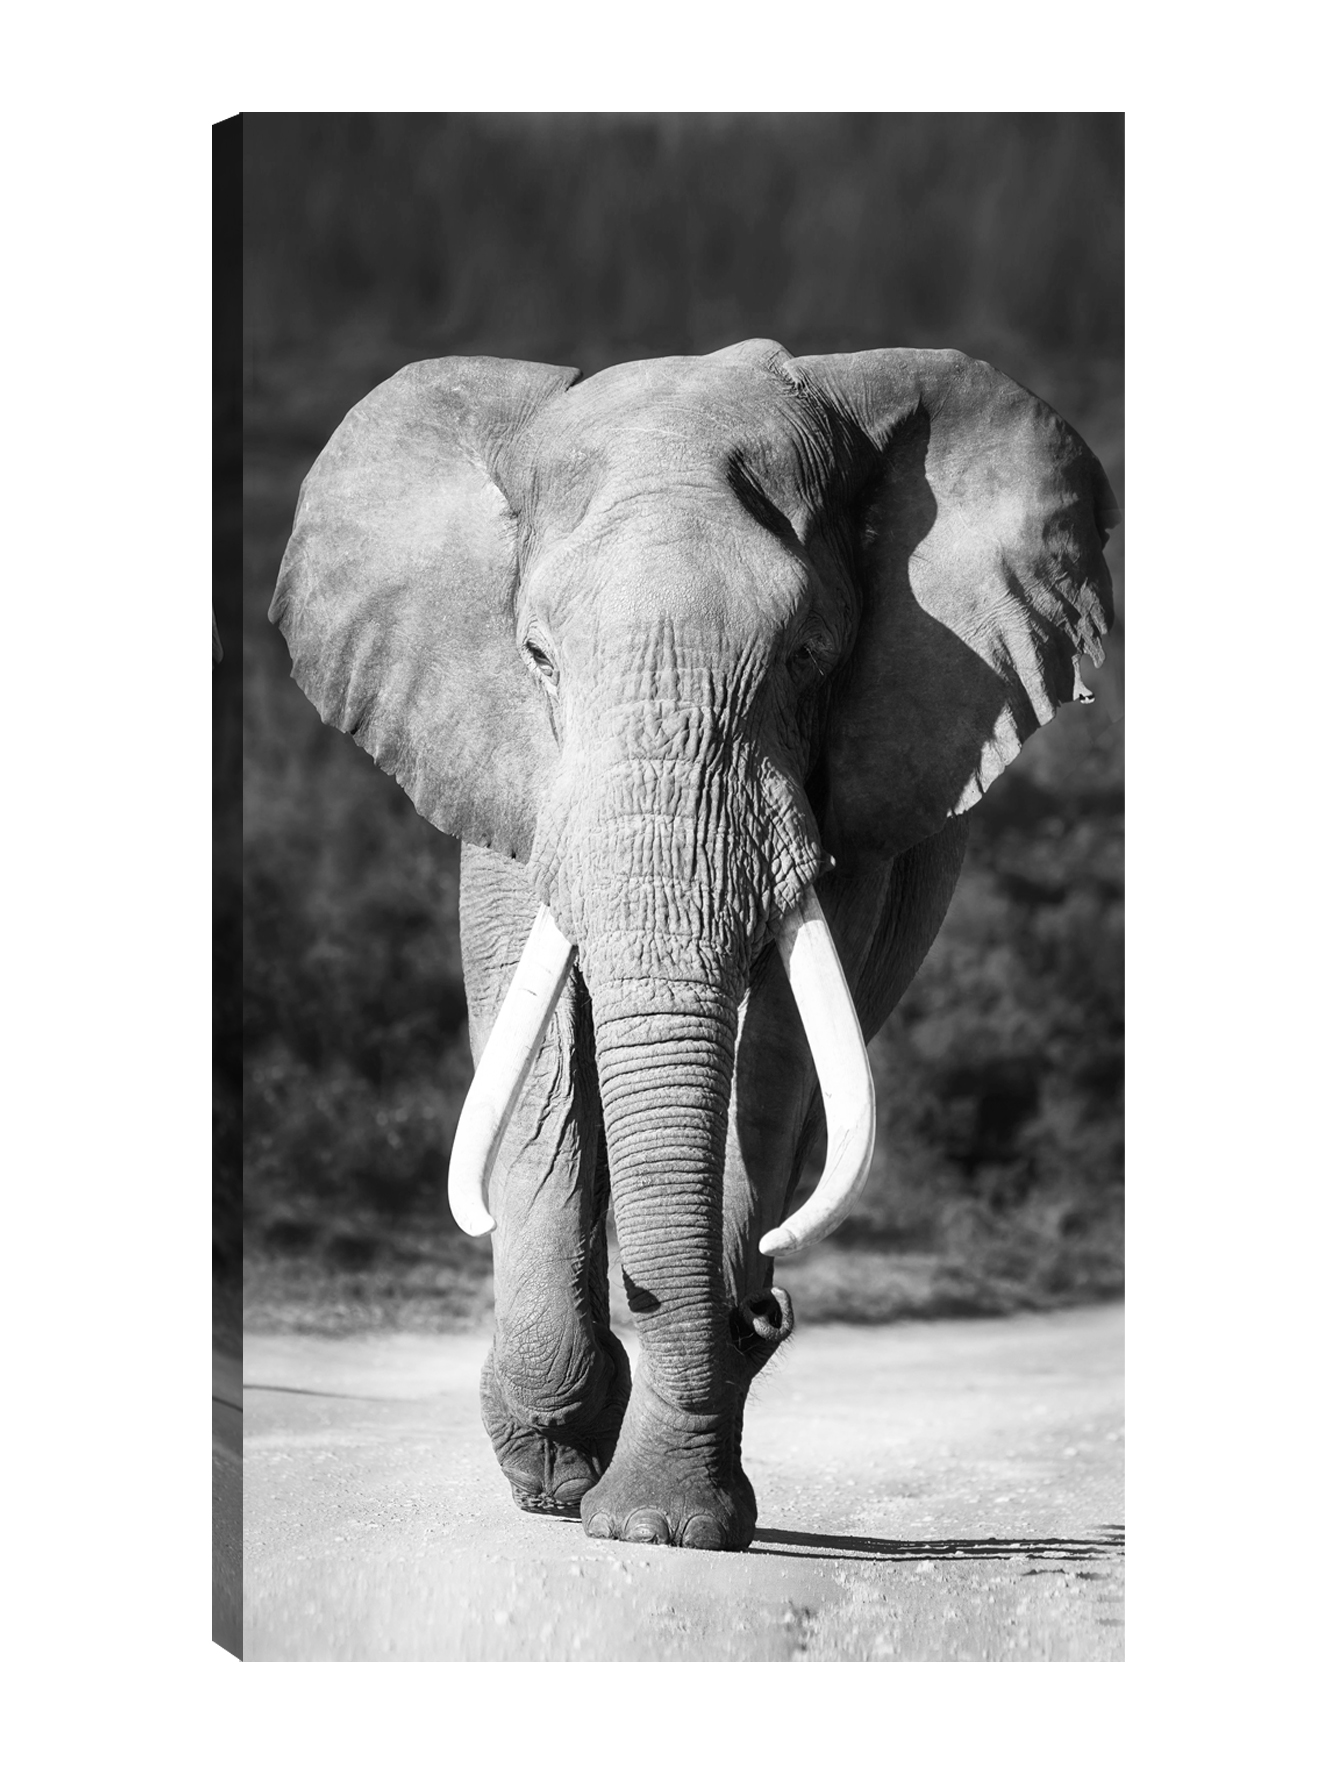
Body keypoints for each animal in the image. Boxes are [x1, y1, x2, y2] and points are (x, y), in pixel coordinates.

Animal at [271, 337, 1119, 1552]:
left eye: (810, 656)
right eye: (537, 655)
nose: (762, 1310)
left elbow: (771, 1057)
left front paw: (660, 1525)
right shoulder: (504, 768)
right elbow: (536, 1048)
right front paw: (561, 1470)